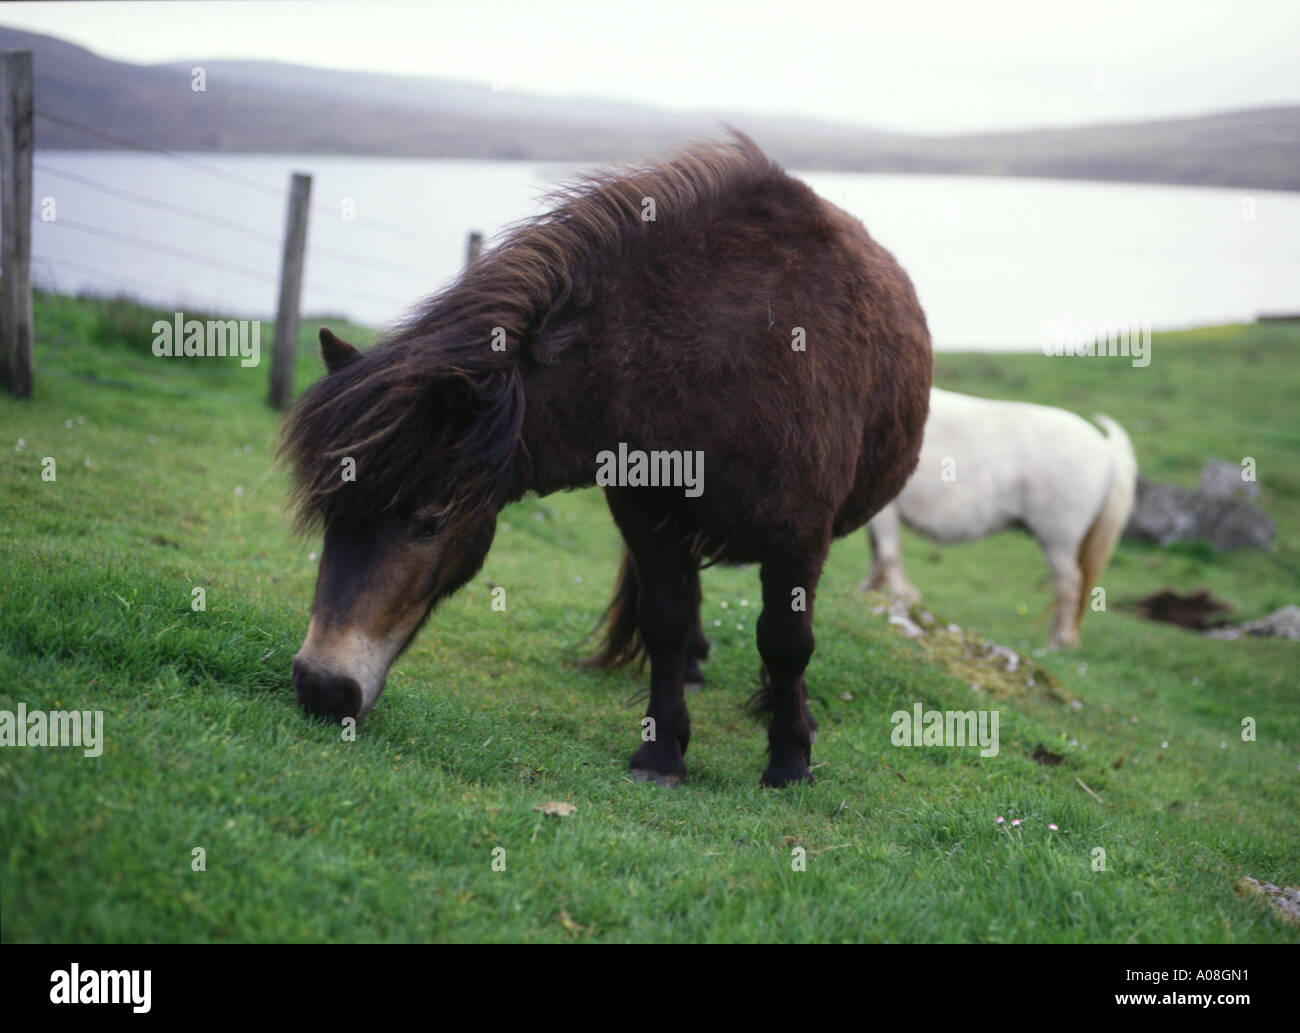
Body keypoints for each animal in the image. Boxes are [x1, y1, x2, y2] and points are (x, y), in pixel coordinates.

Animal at [280, 133, 933, 787]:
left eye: (430, 523)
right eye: (331, 514)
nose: (322, 687)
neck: (714, 354)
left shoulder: (800, 533)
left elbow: (786, 640)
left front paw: (791, 758)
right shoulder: (647, 516)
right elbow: (665, 621)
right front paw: (662, 751)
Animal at [863, 387, 1137, 647]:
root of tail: (1106, 451)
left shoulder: (886, 509)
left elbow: (887, 555)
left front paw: (901, 596)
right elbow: (878, 556)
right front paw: (871, 593)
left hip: (1058, 539)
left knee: (1069, 584)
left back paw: (1058, 641)